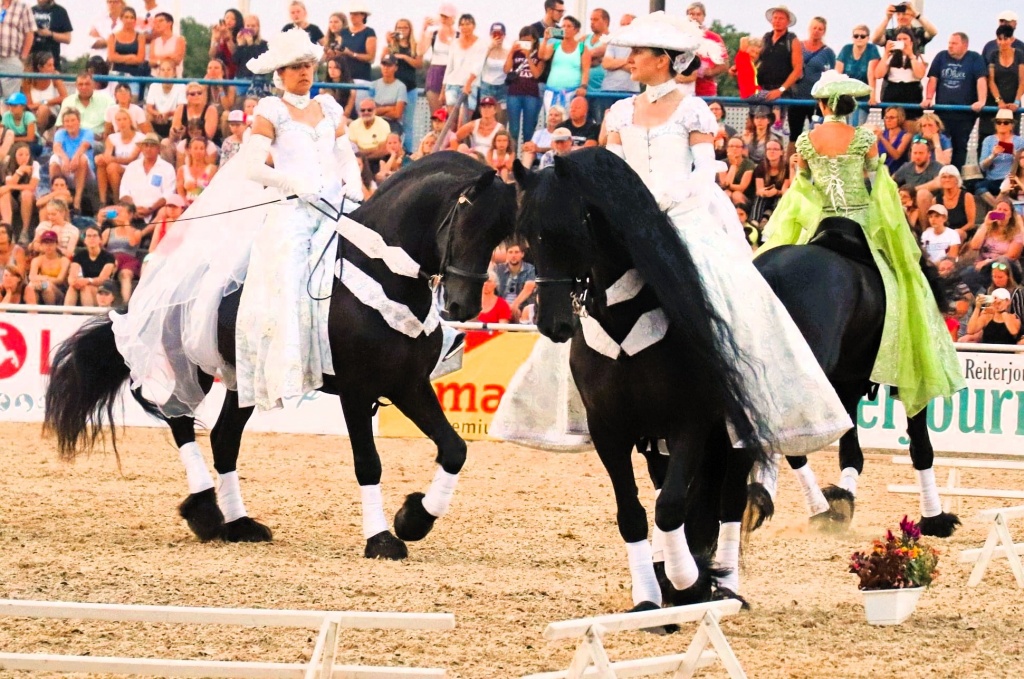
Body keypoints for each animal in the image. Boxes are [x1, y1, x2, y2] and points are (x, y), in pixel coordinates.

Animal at [44, 152, 518, 559]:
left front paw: (413, 519)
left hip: (243, 377)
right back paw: (206, 512)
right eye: (467, 224)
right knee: (175, 415)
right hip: (191, 363)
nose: (462, 306)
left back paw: (238, 524)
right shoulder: (357, 390)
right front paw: (382, 538)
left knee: (223, 438)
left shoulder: (407, 385)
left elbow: (455, 449)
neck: (382, 272)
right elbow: (368, 463)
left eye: (500, 235)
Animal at [511, 149, 771, 613]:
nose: (553, 324)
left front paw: (691, 582)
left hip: (732, 440)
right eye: (527, 239)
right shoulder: (608, 430)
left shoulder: (690, 423)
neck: (623, 319)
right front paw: (650, 596)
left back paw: (726, 587)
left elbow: (670, 507)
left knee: (728, 503)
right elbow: (633, 514)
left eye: (570, 229)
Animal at [745, 216, 961, 538]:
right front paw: (935, 519)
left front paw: (841, 499)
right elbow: (920, 446)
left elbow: (851, 452)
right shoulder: (910, 382)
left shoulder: (845, 385)